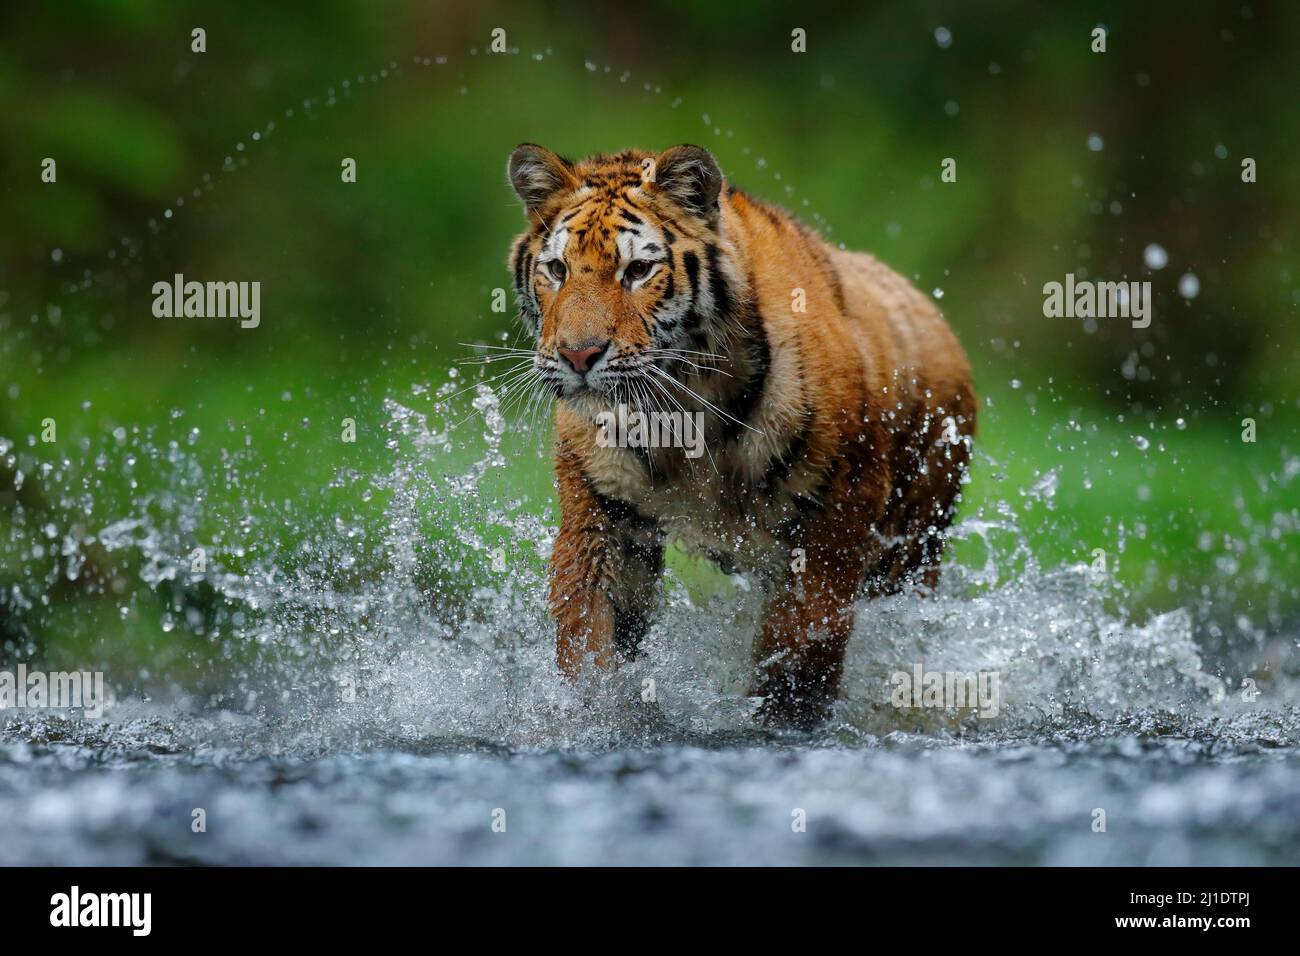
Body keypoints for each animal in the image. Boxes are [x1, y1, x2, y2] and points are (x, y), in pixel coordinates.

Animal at [505, 143, 977, 728]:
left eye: (638, 270)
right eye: (557, 269)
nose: (578, 355)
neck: (682, 410)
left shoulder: (837, 519)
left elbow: (799, 654)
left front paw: (781, 722)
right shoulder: (601, 520)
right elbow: (591, 645)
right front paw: (593, 715)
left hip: (910, 553)